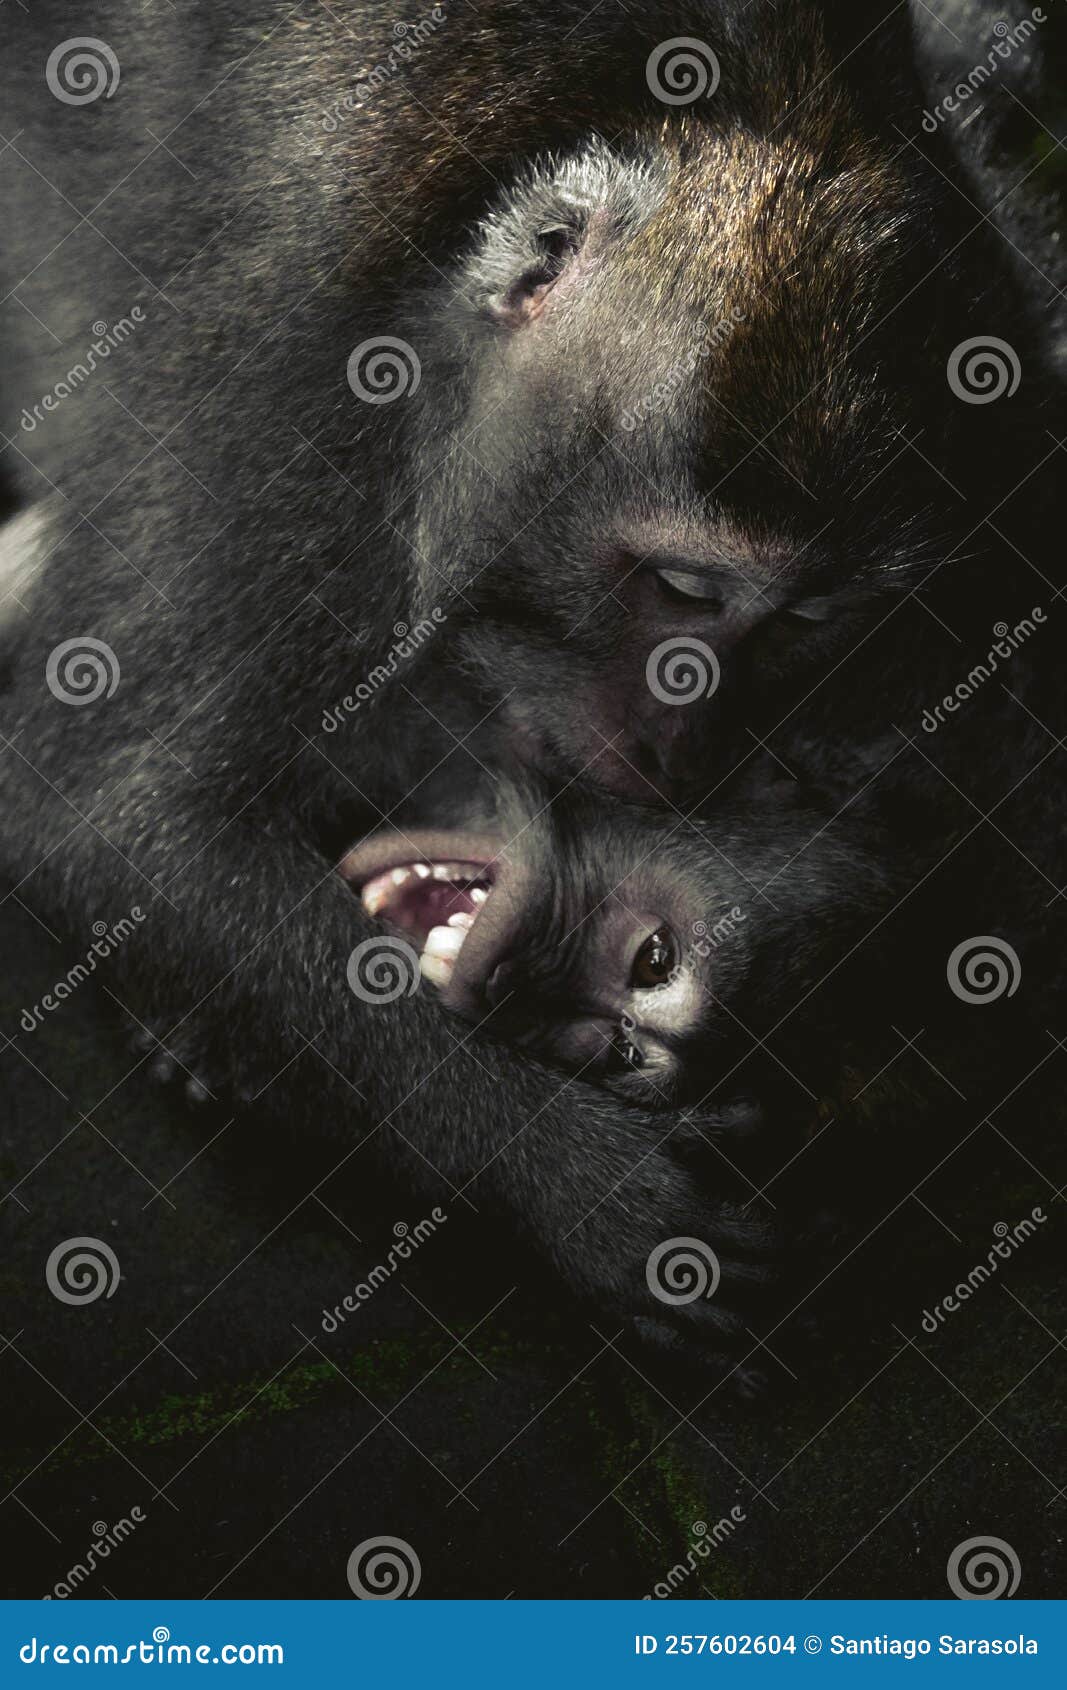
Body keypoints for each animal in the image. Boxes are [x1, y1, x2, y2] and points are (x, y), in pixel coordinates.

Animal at [0, 0, 1062, 1368]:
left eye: (803, 618)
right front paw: (569, 1180)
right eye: (682, 588)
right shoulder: (299, 403)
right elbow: (112, 821)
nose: (678, 744)